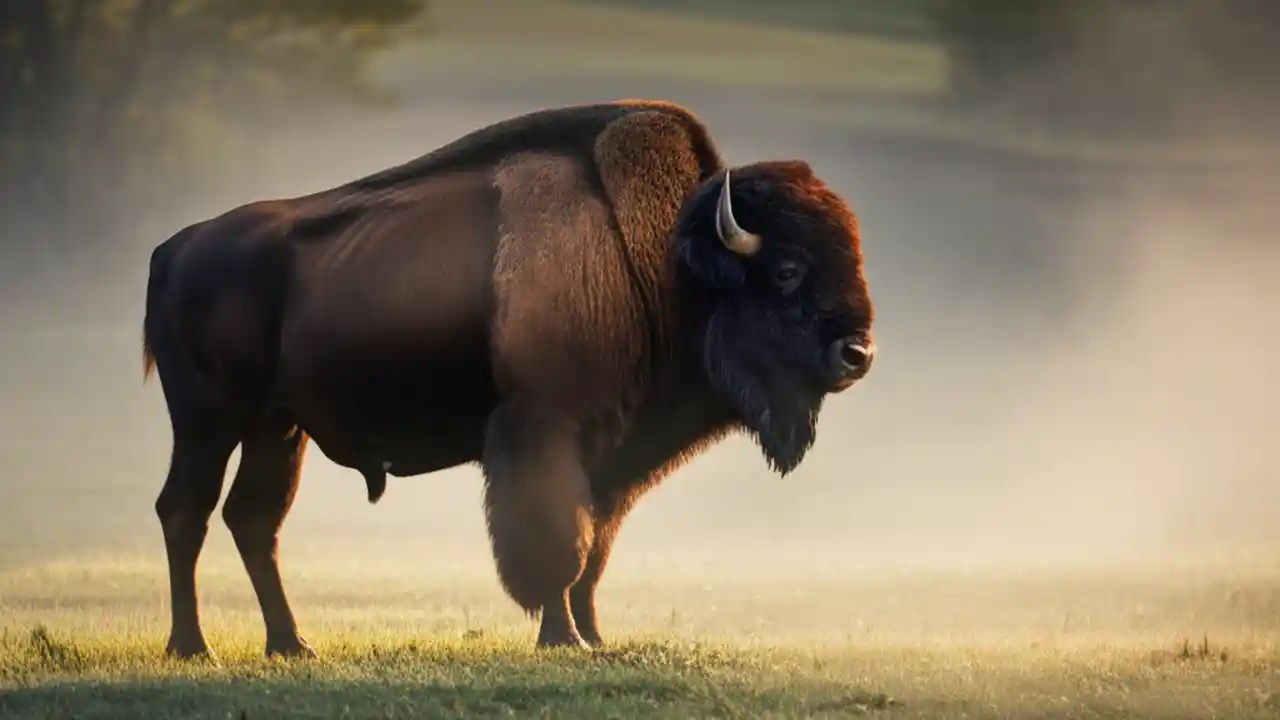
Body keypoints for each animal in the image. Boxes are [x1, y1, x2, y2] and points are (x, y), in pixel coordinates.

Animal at [142, 99, 875, 656]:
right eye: (787, 270)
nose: (858, 354)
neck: (661, 263)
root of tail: (178, 248)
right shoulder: (543, 433)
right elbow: (559, 546)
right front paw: (564, 639)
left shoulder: (612, 461)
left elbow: (594, 553)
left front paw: (593, 637)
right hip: (208, 422)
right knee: (186, 512)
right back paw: (194, 647)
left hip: (277, 427)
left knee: (252, 520)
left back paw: (292, 645)